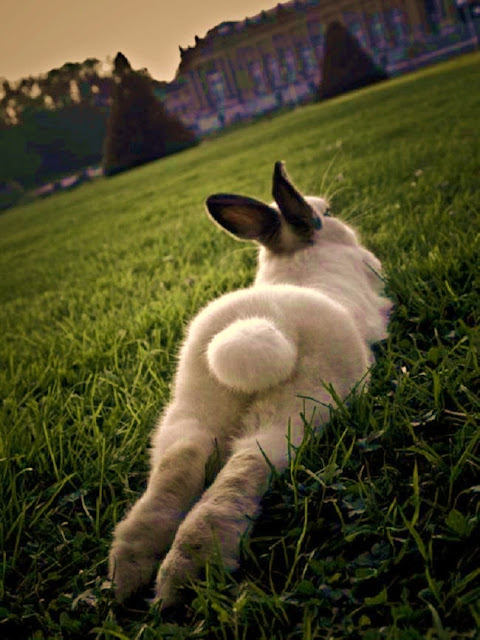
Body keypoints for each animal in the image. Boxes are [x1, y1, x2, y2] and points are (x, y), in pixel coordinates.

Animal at [108, 161, 392, 609]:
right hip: (302, 405)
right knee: (246, 464)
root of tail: (263, 320)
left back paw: (130, 572)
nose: (337, 218)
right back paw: (190, 573)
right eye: (327, 212)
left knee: (182, 459)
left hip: (192, 403)